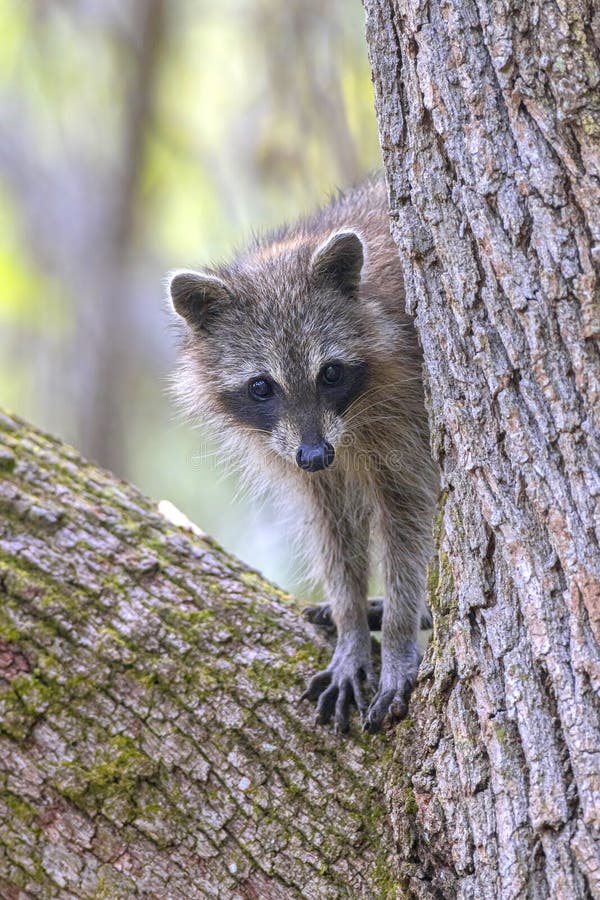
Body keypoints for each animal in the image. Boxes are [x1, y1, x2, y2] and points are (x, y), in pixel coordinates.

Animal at [168, 175, 438, 733]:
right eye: (261, 386)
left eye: (330, 373)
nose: (315, 454)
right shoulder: (295, 454)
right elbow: (332, 529)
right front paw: (351, 625)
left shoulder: (406, 413)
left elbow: (407, 516)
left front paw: (399, 633)